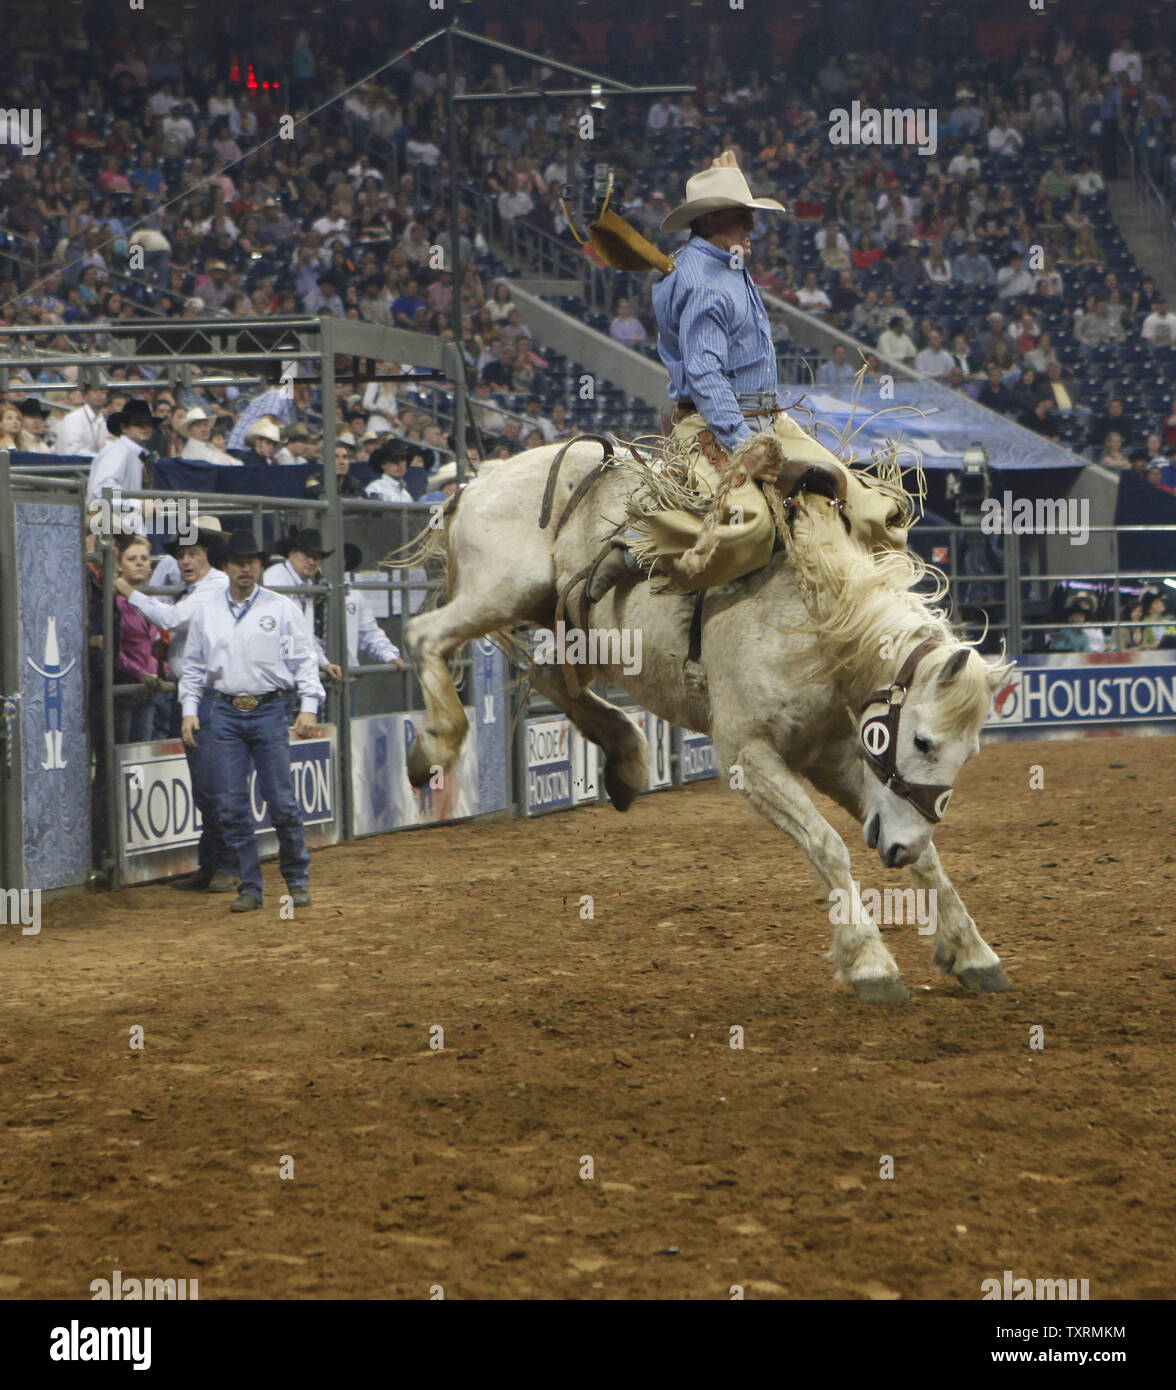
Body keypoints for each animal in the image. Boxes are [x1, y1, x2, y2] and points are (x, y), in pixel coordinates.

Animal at [397, 437, 1013, 1005]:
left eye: (969, 753)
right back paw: (434, 746)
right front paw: (870, 965)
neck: (815, 623)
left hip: (581, 631)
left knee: (550, 675)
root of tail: (479, 482)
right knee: (426, 635)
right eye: (923, 741)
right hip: (500, 594)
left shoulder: (836, 757)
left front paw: (972, 952)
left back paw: (625, 758)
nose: (898, 849)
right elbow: (826, 844)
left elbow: (923, 855)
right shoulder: (749, 757)